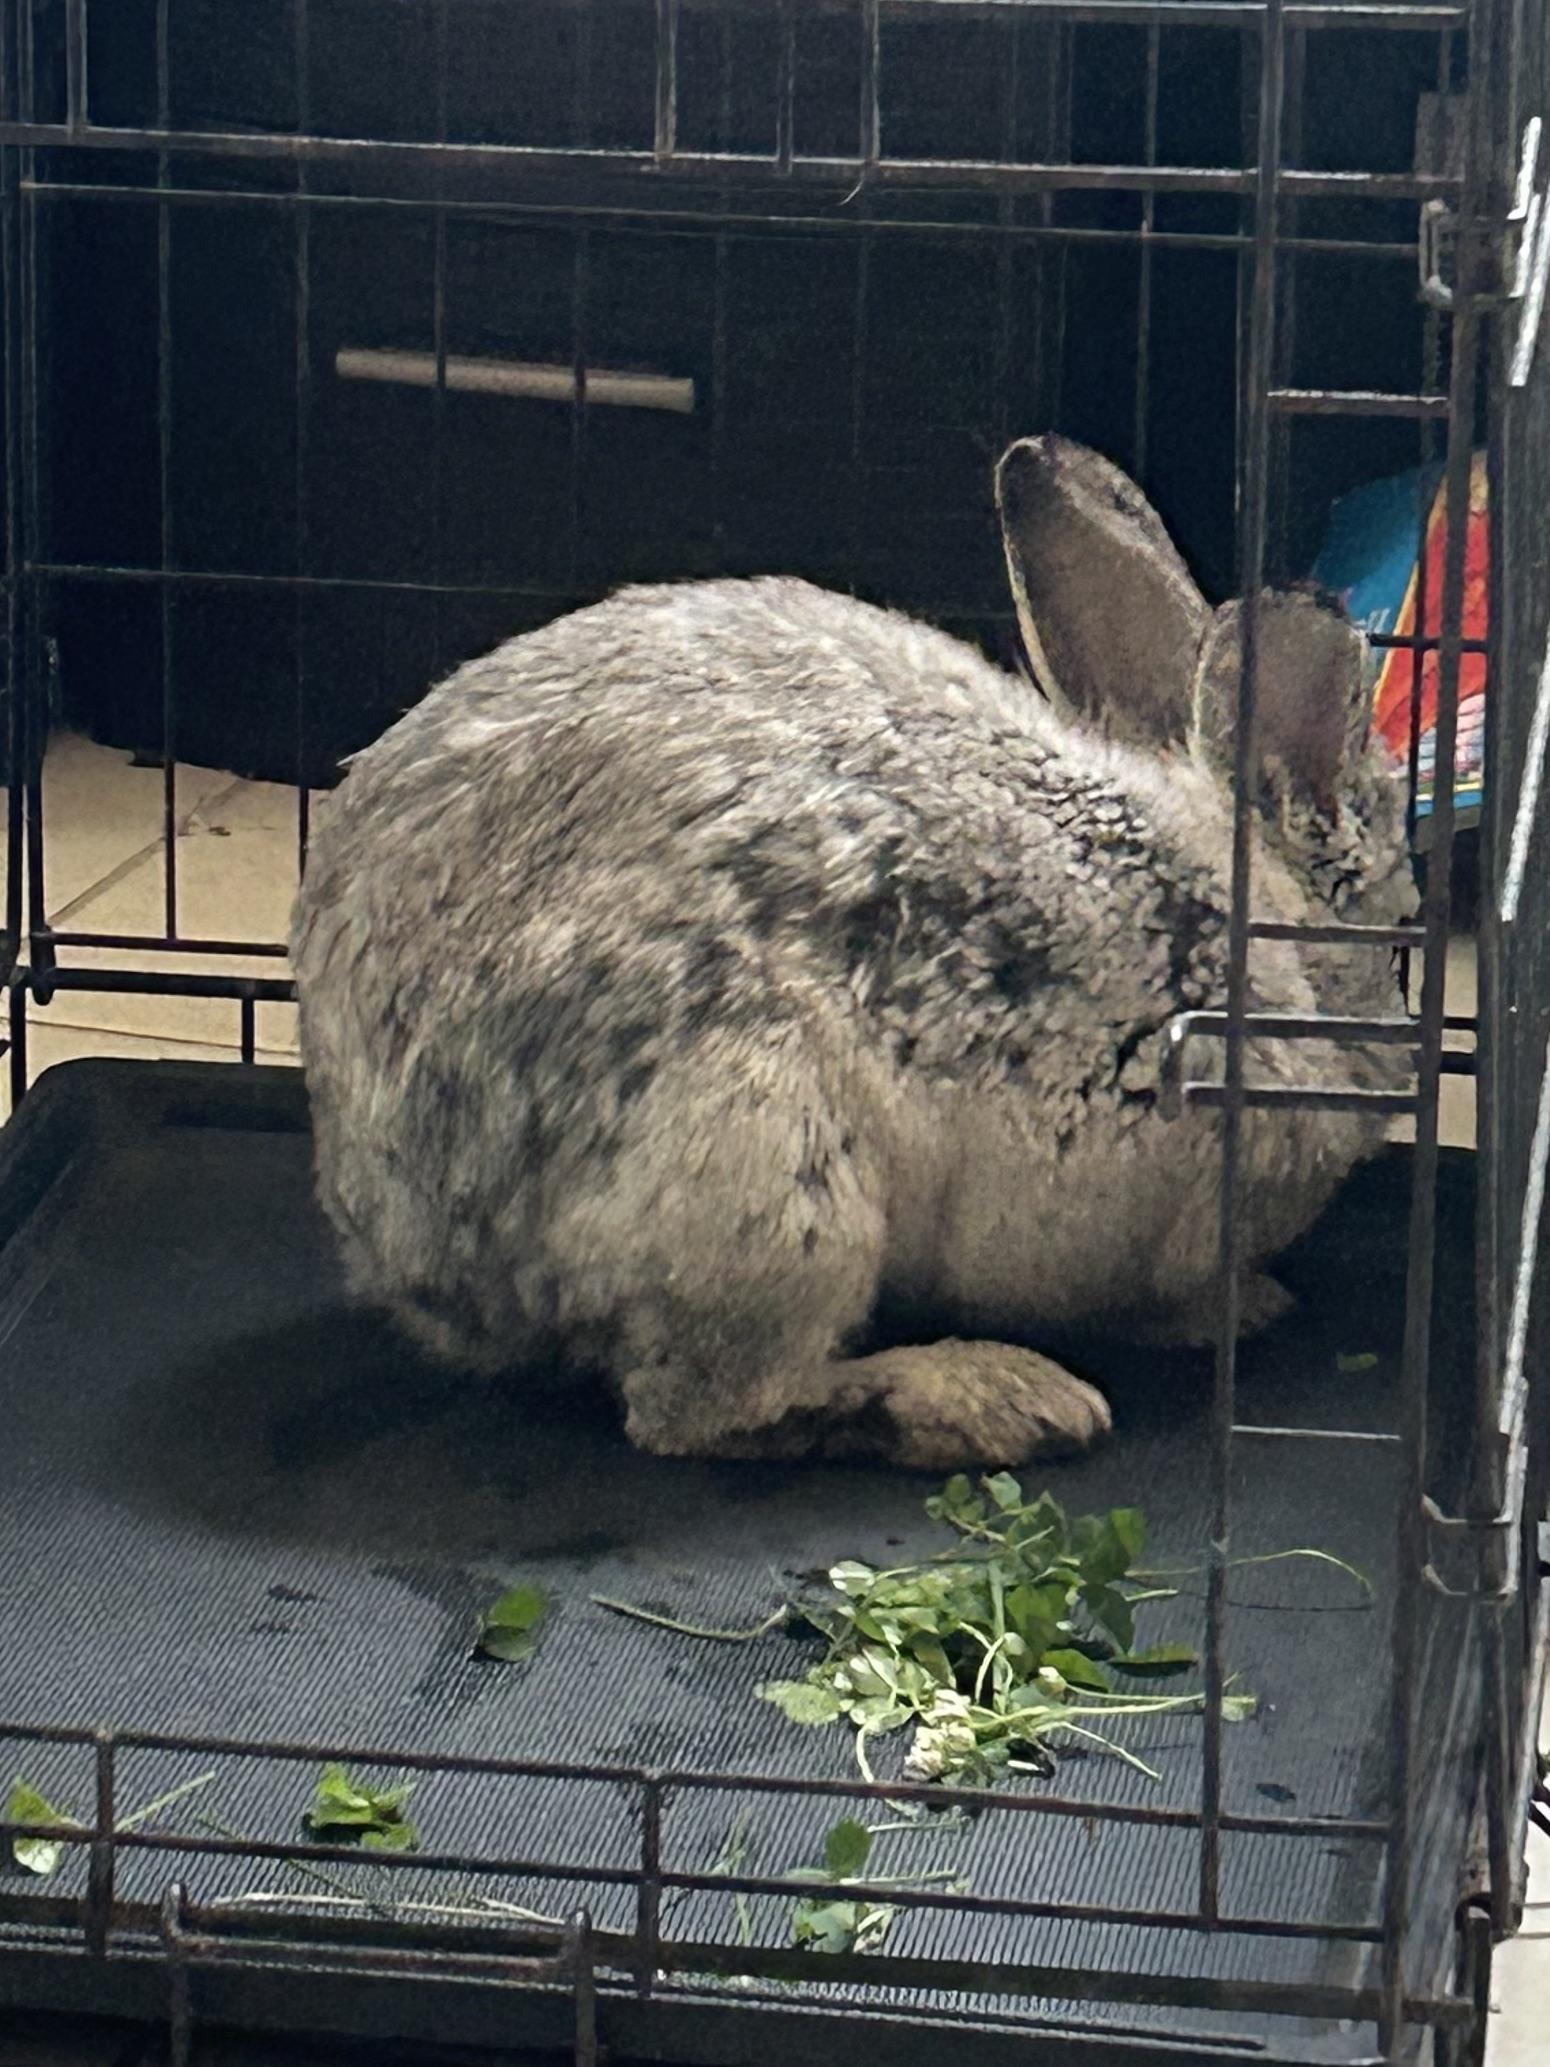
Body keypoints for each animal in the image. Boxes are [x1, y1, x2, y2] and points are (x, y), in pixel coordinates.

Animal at [291, 436, 1417, 1470]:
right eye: (1405, 941)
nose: (1408, 1056)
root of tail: (403, 1231)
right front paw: (1235, 1308)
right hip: (764, 1172)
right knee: (706, 1407)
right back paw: (998, 1399)